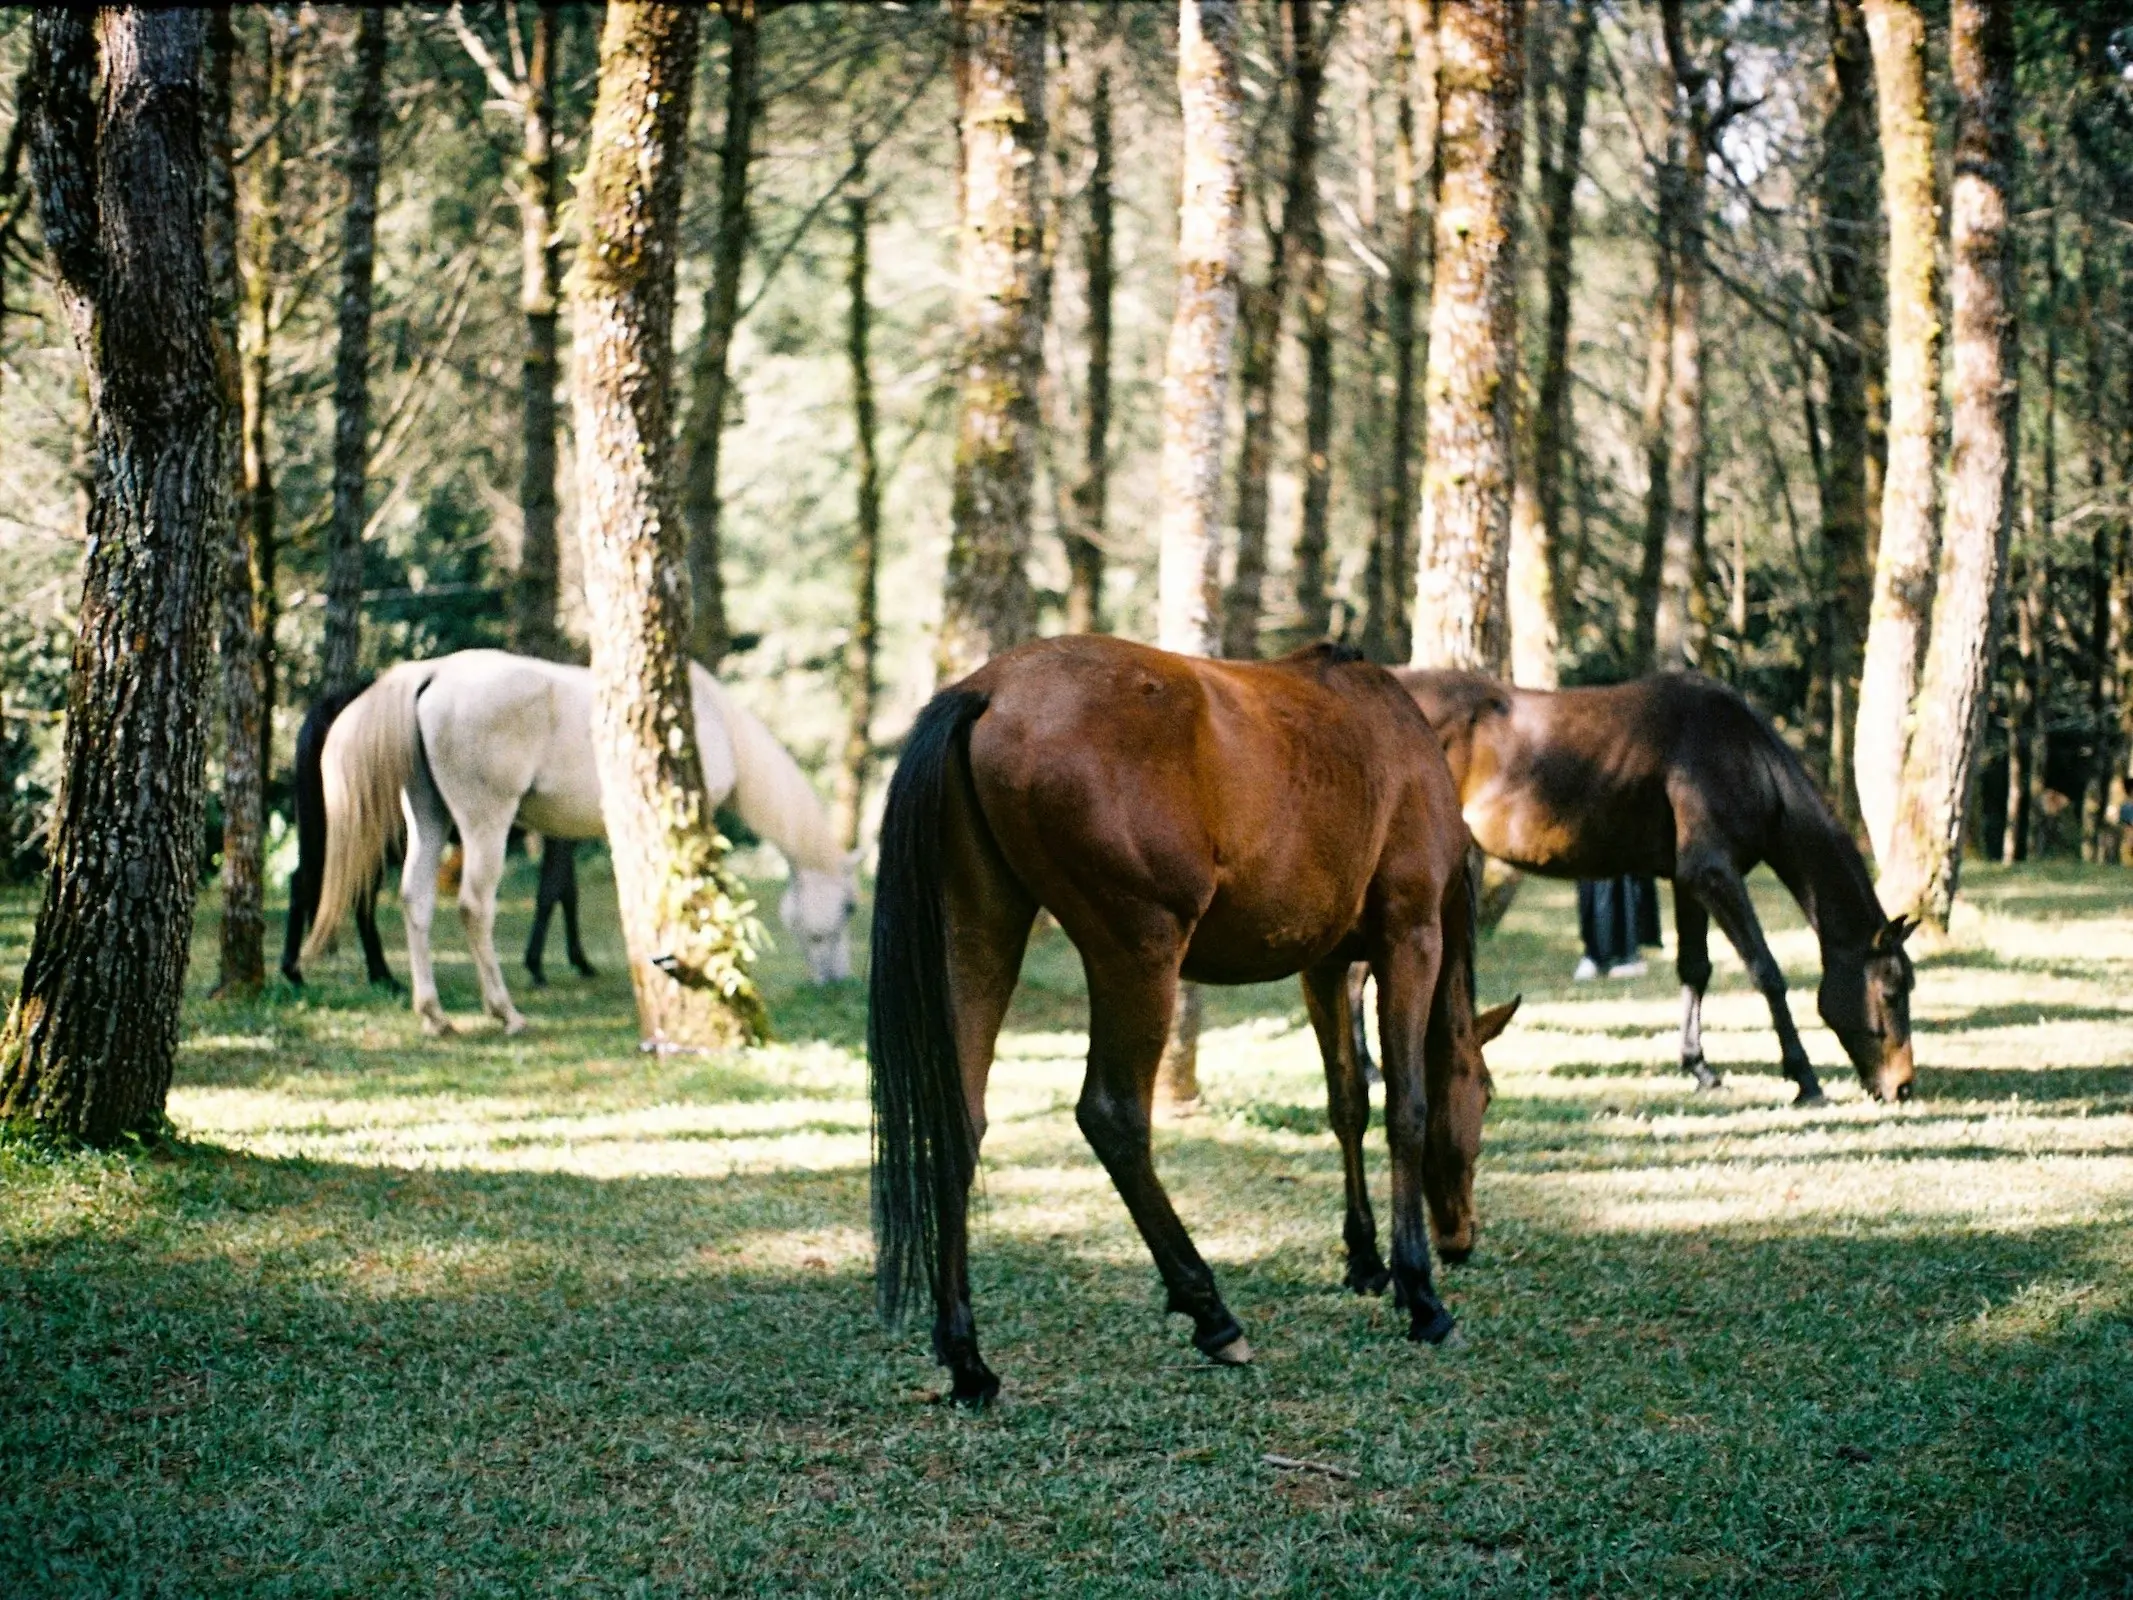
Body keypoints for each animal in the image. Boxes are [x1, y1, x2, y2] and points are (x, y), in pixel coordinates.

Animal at [282, 685, 597, 990]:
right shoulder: (560, 835)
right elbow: (552, 893)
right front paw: (539, 966)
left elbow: (566, 892)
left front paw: (578, 960)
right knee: (338, 891)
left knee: (315, 884)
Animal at [869, 637, 1510, 1407]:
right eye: (1485, 1095)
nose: (1460, 1239)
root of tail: (989, 688)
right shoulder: (1409, 938)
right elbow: (1407, 1108)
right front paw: (1419, 1291)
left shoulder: (1325, 966)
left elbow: (1347, 1103)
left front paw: (1364, 1260)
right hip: (1139, 953)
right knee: (1112, 1116)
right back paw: (1211, 1312)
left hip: (980, 934)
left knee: (961, 1126)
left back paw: (967, 1359)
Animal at [1396, 669, 1917, 1106]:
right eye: (1891, 992)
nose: (1904, 1087)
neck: (1743, 756)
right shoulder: (1713, 874)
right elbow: (1766, 971)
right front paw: (1805, 1079)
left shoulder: (1689, 882)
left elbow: (1695, 969)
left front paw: (1700, 1068)